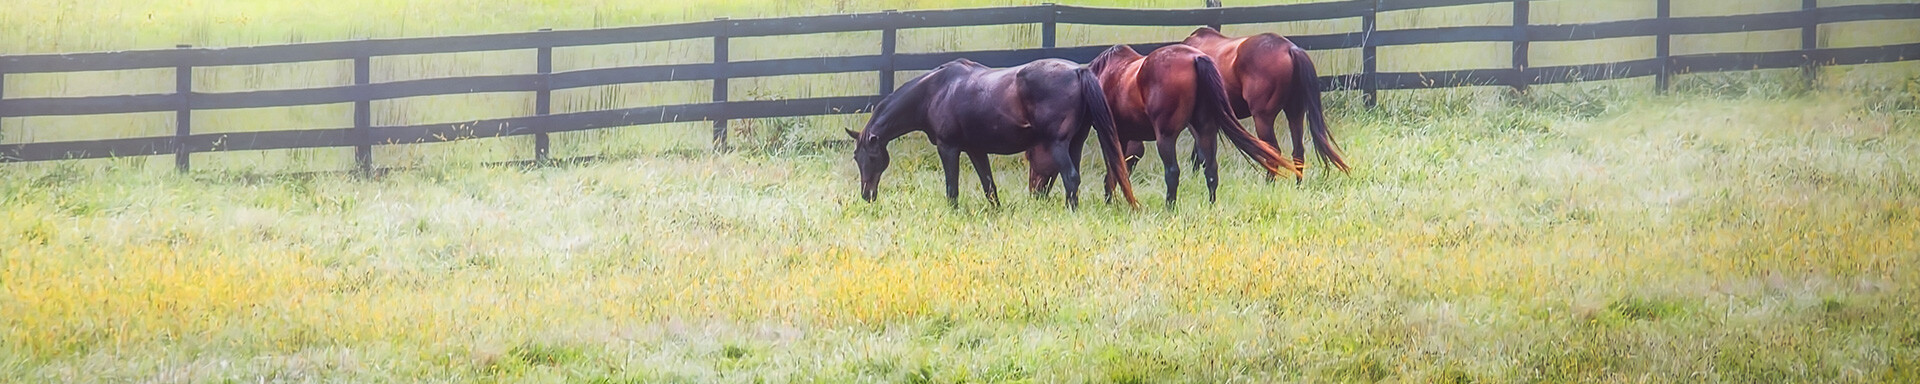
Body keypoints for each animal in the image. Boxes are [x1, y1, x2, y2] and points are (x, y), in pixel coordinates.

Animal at [844, 57, 1136, 210]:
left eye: (870, 158)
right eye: (856, 159)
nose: (867, 195)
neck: (935, 92)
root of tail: (1078, 71)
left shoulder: (948, 148)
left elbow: (952, 187)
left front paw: (953, 212)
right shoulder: (976, 150)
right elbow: (989, 185)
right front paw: (996, 211)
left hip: (1057, 145)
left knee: (1071, 177)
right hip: (1074, 144)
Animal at [1029, 43, 1297, 207]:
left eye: (1031, 157)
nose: (1035, 192)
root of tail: (1196, 57)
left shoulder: (1116, 136)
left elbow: (1114, 170)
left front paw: (1110, 202)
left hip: (1165, 137)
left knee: (1173, 172)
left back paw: (1170, 207)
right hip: (1205, 130)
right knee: (1211, 169)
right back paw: (1211, 205)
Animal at [1175, 27, 1359, 180]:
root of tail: (1290, 49)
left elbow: (1200, 153)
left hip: (1263, 119)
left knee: (1273, 153)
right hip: (1295, 112)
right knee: (1298, 151)